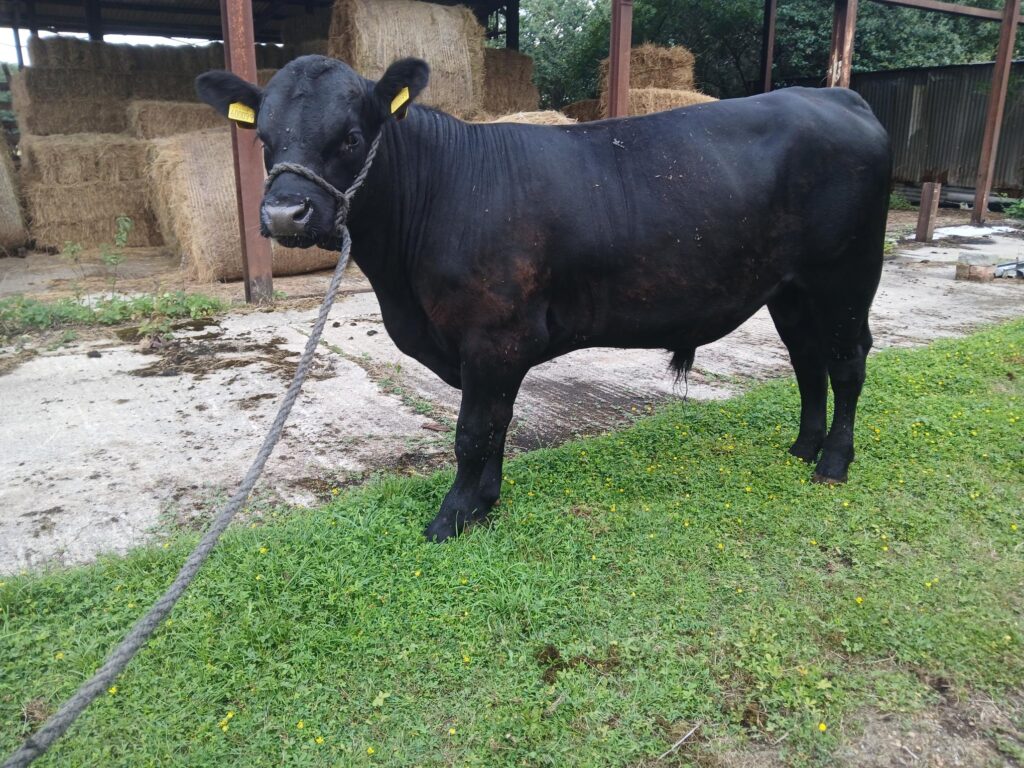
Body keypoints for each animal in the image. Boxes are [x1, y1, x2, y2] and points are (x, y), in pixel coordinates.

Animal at [196, 55, 891, 542]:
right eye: (264, 137)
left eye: (350, 136)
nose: (285, 213)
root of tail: (834, 93)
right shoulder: (492, 350)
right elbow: (497, 425)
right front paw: (486, 502)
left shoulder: (494, 337)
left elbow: (472, 431)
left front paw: (452, 516)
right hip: (791, 290)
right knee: (807, 362)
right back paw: (802, 447)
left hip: (846, 279)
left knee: (848, 362)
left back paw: (833, 461)